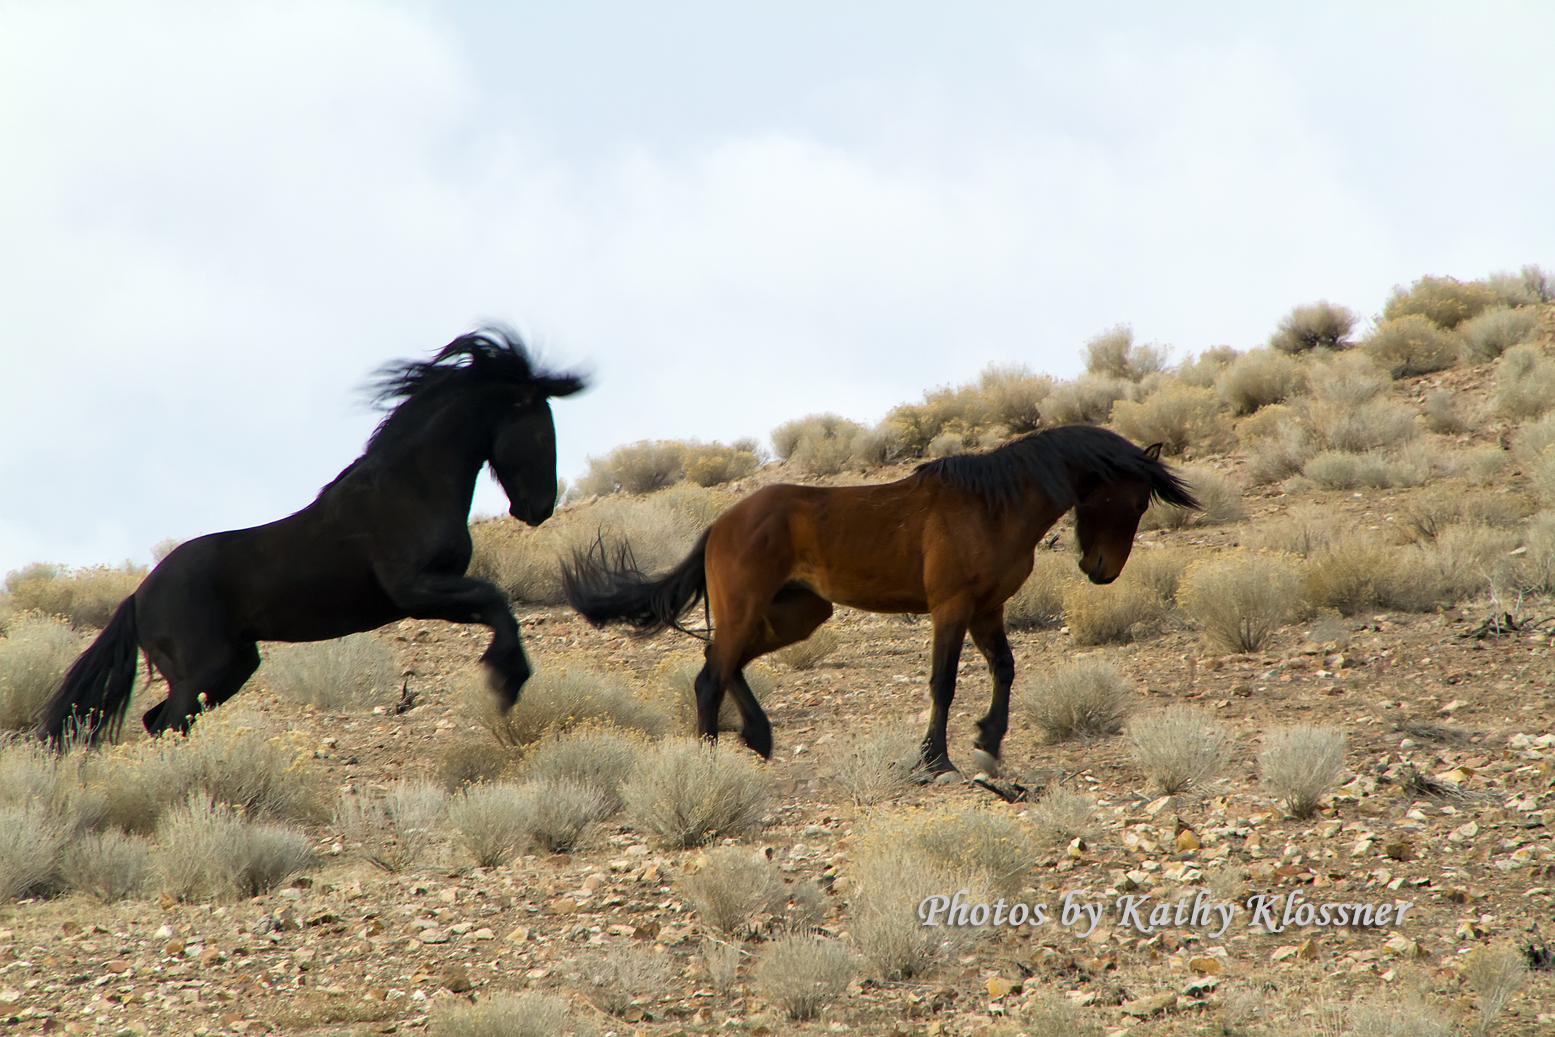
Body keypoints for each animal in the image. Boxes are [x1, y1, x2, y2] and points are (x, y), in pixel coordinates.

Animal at [38, 328, 585, 745]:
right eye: (543, 433)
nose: (538, 508)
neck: (412, 487)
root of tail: (138, 596)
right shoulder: (417, 590)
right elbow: (496, 602)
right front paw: (507, 682)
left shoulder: (430, 593)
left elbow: (495, 605)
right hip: (204, 670)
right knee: (169, 724)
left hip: (234, 666)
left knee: (160, 723)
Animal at [564, 424, 1196, 777]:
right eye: (1131, 501)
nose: (1102, 571)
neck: (994, 505)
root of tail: (721, 523)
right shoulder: (952, 608)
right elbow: (943, 682)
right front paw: (936, 761)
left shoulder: (986, 610)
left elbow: (1005, 669)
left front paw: (988, 742)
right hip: (750, 609)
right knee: (709, 677)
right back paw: (708, 766)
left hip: (799, 613)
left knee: (723, 663)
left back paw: (758, 738)